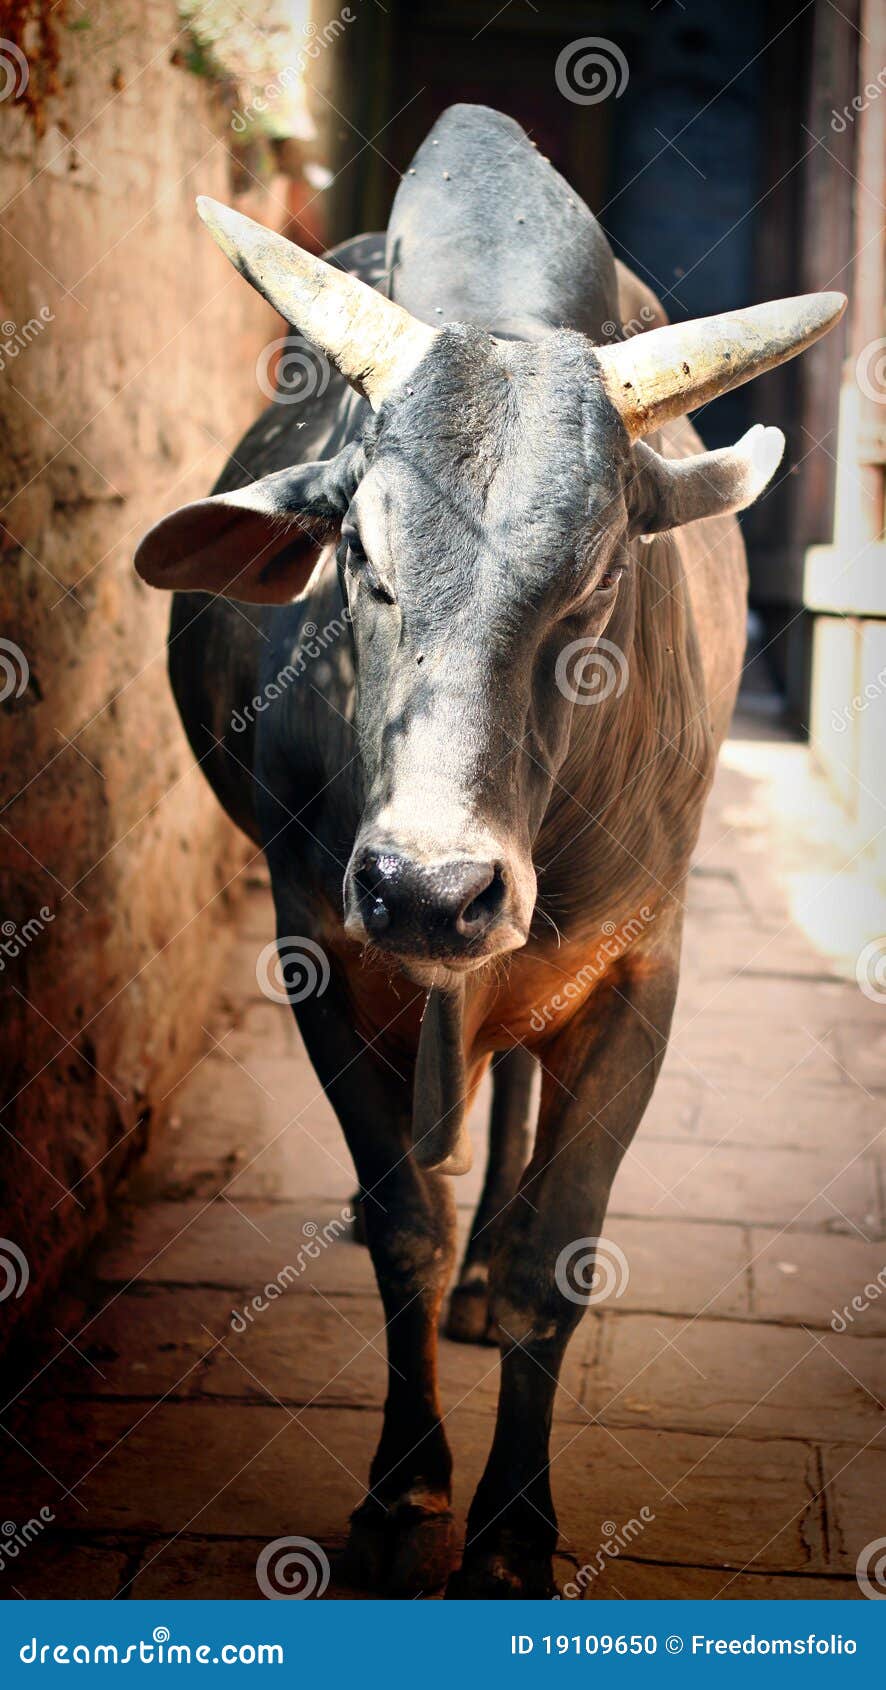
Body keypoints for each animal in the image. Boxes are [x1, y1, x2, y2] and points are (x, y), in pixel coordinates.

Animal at [135, 105, 844, 1598]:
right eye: (357, 551)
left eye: (601, 575)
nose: (428, 888)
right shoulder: (317, 945)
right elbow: (398, 1214)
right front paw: (405, 1491)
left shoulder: (637, 968)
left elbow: (550, 1253)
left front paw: (515, 1527)